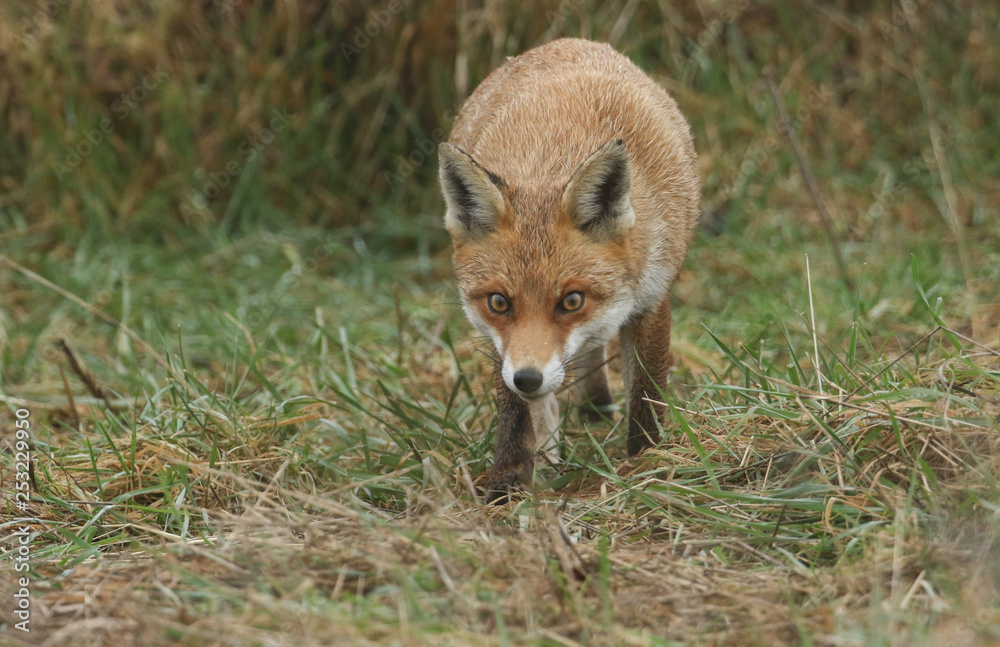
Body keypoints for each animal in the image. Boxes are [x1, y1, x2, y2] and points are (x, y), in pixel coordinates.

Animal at [438, 38, 700, 500]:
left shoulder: (651, 299)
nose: (527, 378)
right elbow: (516, 416)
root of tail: (567, 42)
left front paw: (645, 462)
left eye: (572, 301)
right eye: (499, 302)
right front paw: (508, 482)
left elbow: (646, 397)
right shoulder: (504, 345)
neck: (554, 154)